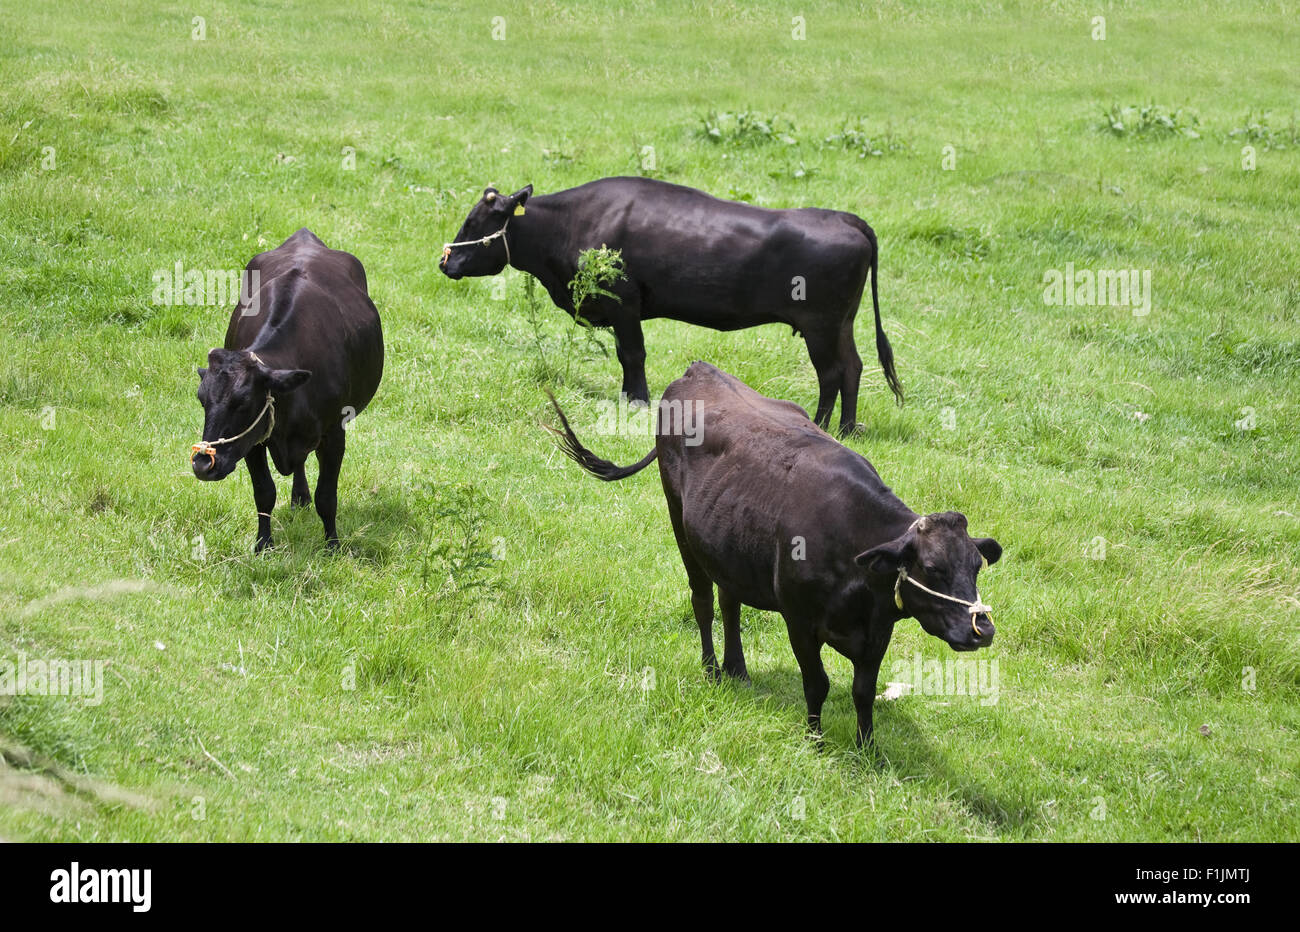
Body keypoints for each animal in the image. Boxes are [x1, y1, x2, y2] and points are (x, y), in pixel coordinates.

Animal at [190, 228, 384, 552]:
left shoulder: (334, 433)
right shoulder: (253, 441)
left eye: (244, 401)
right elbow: (264, 492)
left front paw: (332, 546)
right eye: (202, 400)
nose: (203, 465)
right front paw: (263, 545)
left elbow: (326, 497)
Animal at [441, 176, 902, 436]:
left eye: (474, 222)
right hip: (840, 323)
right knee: (854, 367)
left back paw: (824, 427)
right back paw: (847, 429)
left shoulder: (625, 303)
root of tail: (843, 217)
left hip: (820, 325)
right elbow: (626, 358)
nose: (446, 262)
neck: (569, 223)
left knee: (832, 373)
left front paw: (639, 402)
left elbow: (633, 354)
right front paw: (628, 397)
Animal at [546, 362, 1001, 747]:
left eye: (977, 567)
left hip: (727, 545)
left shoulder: (878, 629)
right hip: (680, 523)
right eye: (932, 567)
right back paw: (712, 670)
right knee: (703, 601)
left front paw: (868, 750)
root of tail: (698, 369)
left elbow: (864, 691)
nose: (983, 629)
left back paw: (737, 670)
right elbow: (817, 684)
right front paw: (815, 742)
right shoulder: (798, 620)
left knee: (729, 603)